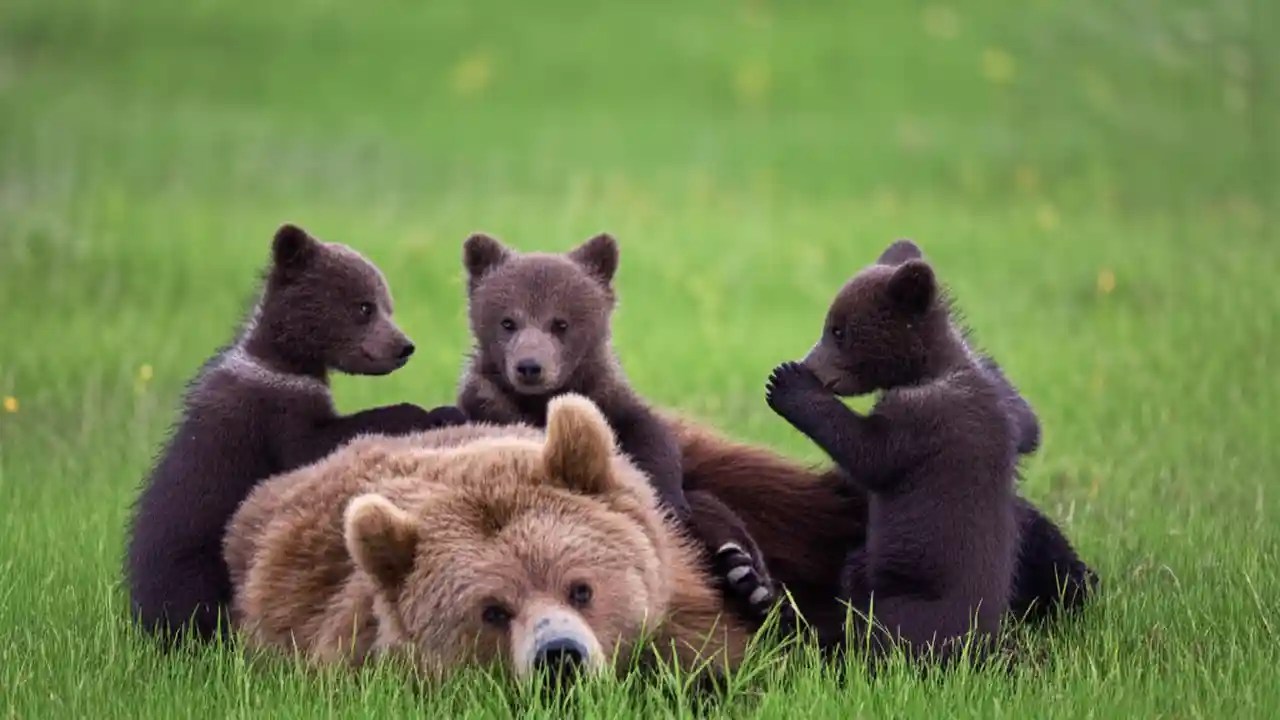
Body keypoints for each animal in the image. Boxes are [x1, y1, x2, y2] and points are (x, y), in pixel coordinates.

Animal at [125, 223, 467, 644]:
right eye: (363, 307)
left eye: (388, 305)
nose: (404, 346)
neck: (285, 360)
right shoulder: (274, 414)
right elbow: (318, 442)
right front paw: (425, 411)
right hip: (192, 553)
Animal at [455, 232, 782, 620]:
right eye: (508, 321)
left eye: (560, 323)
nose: (530, 366)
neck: (538, 404)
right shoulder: (487, 406)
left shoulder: (609, 402)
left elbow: (651, 443)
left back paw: (747, 578)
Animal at [765, 238, 1021, 662]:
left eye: (839, 330)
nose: (807, 363)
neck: (928, 370)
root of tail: (982, 644)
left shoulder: (928, 420)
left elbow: (870, 453)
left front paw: (786, 383)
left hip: (918, 596)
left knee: (881, 629)